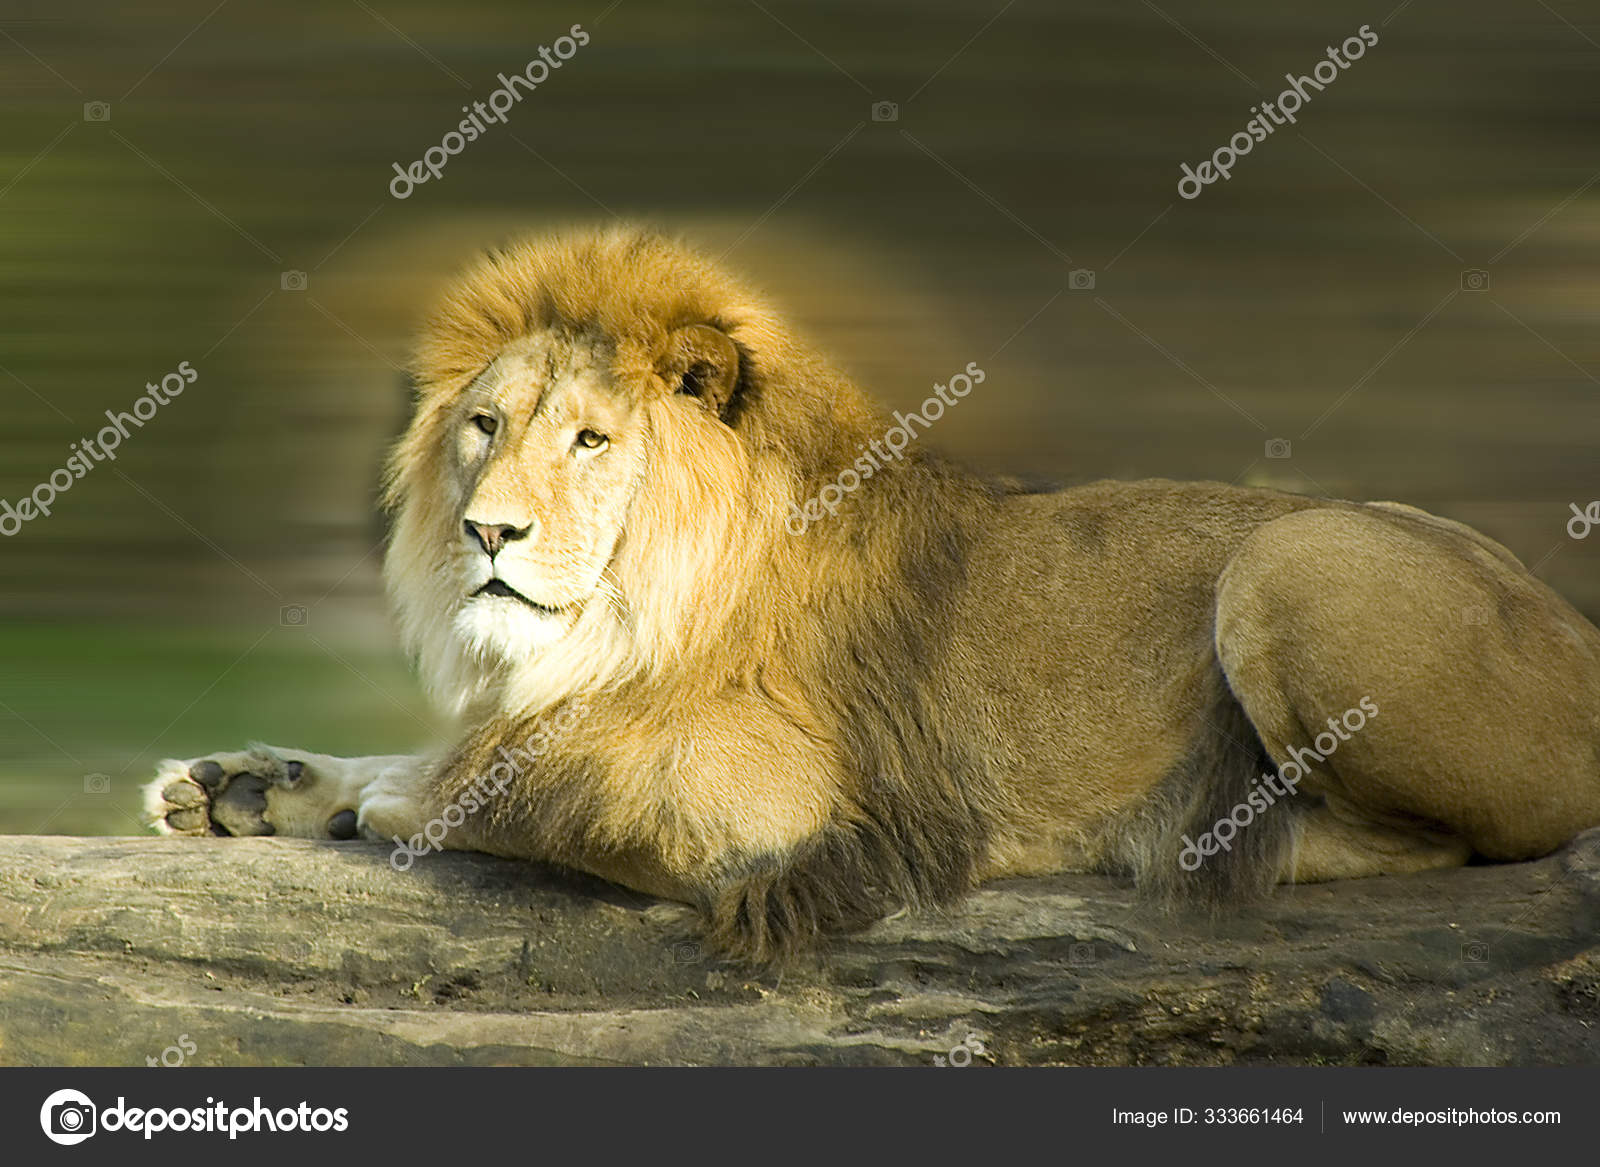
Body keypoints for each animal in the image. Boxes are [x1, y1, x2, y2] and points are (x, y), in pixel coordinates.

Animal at [144, 225, 1600, 961]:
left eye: (591, 441)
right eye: (483, 427)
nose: (486, 530)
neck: (636, 610)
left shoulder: (771, 805)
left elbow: (510, 768)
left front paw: (377, 801)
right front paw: (249, 786)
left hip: (1287, 562)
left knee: (1446, 845)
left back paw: (1204, 830)